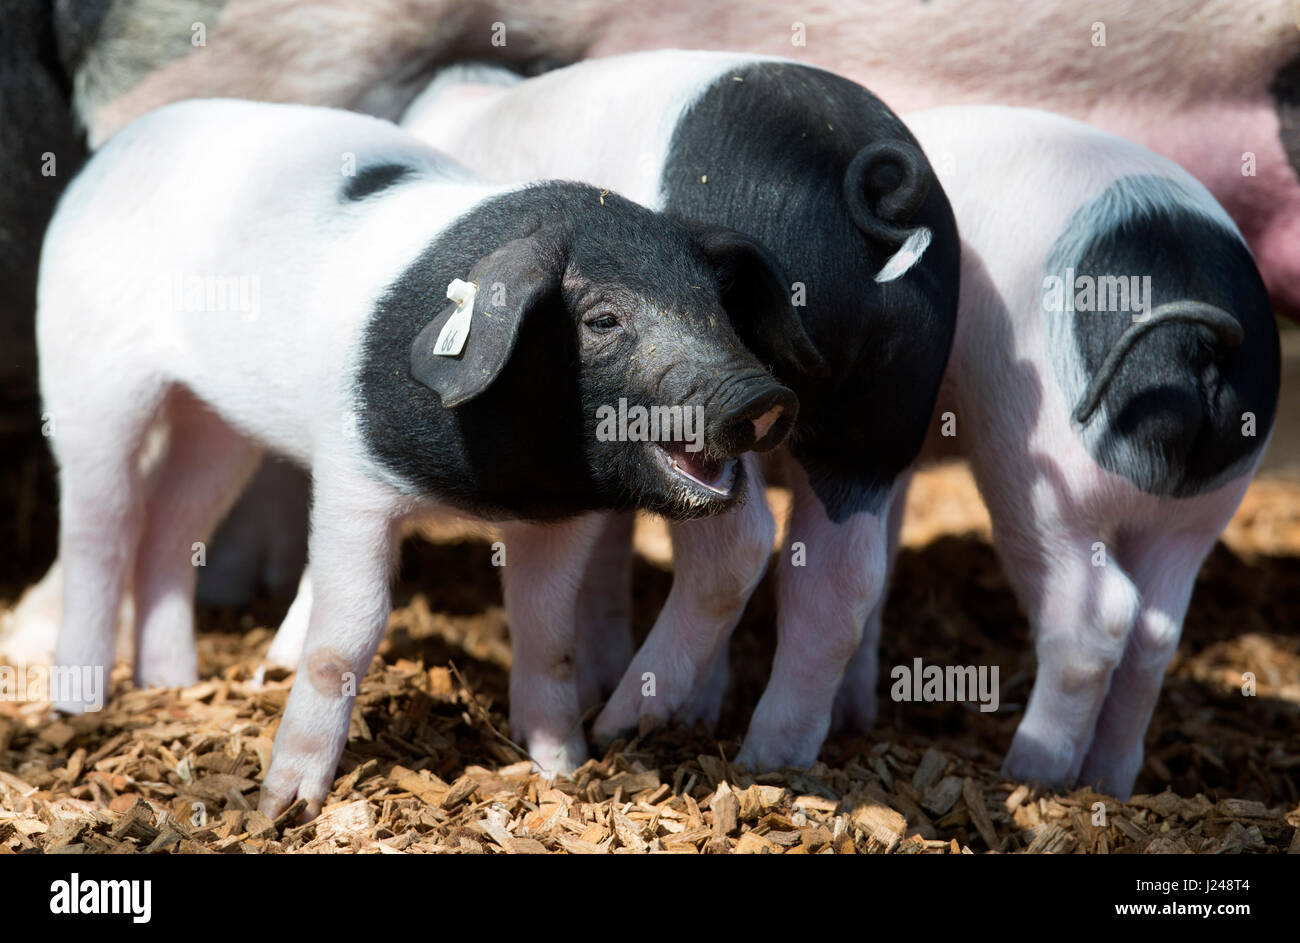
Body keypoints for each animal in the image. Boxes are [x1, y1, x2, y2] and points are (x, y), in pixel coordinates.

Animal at [38, 98, 812, 817]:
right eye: (602, 320)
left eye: (719, 308)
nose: (761, 395)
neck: (500, 486)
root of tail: (120, 147)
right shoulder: (354, 475)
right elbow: (347, 635)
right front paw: (285, 806)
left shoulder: (562, 519)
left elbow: (547, 633)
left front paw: (564, 766)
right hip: (87, 367)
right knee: (100, 524)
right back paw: (79, 702)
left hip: (217, 422)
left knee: (174, 520)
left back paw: (171, 681)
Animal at [397, 50, 960, 769]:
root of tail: (854, 176)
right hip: (886, 413)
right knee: (845, 578)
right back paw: (776, 756)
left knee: (738, 544)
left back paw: (626, 722)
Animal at [825, 106, 1280, 798]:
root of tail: (1202, 334)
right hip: (1206, 505)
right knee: (1156, 631)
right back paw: (1109, 782)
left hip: (1039, 471)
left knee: (1097, 617)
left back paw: (1028, 773)